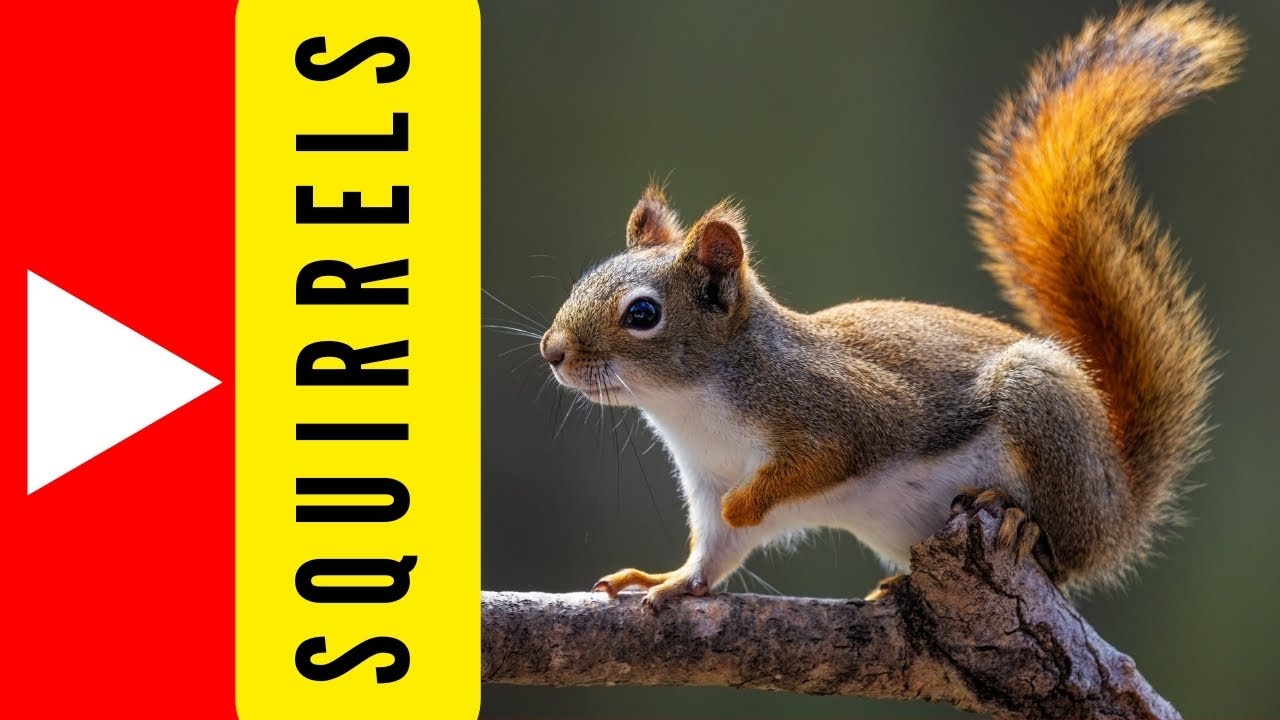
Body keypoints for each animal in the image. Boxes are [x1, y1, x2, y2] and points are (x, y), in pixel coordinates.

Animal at [539, 3, 1242, 610]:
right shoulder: (707, 482)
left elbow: (817, 464)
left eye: (642, 315)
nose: (553, 352)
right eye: (585, 280)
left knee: (1063, 551)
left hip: (1040, 411)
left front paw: (749, 503)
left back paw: (1022, 522)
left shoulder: (841, 410)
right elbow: (714, 552)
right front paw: (669, 579)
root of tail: (1119, 506)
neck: (693, 407)